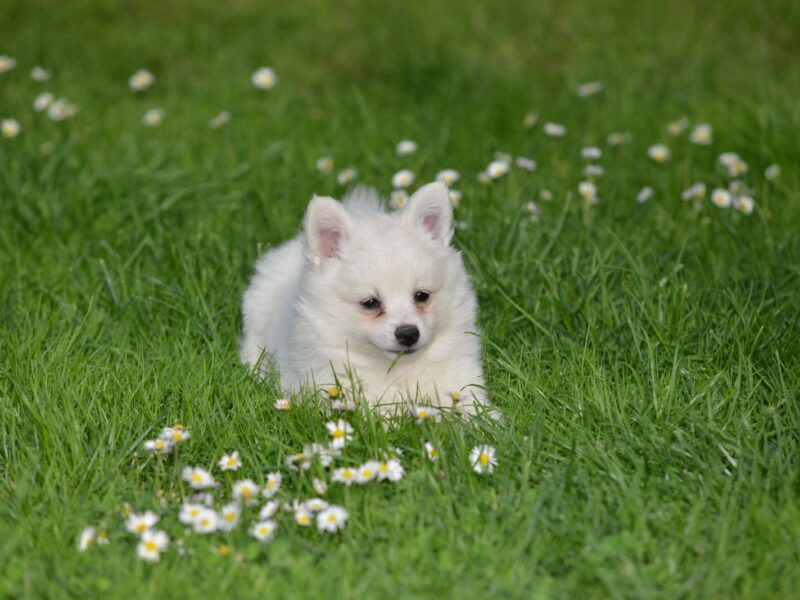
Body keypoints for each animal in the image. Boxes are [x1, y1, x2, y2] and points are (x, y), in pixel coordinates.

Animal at [241, 182, 490, 418]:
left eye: (421, 296)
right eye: (370, 303)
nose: (408, 333)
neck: (398, 369)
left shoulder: (459, 378)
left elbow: (471, 407)